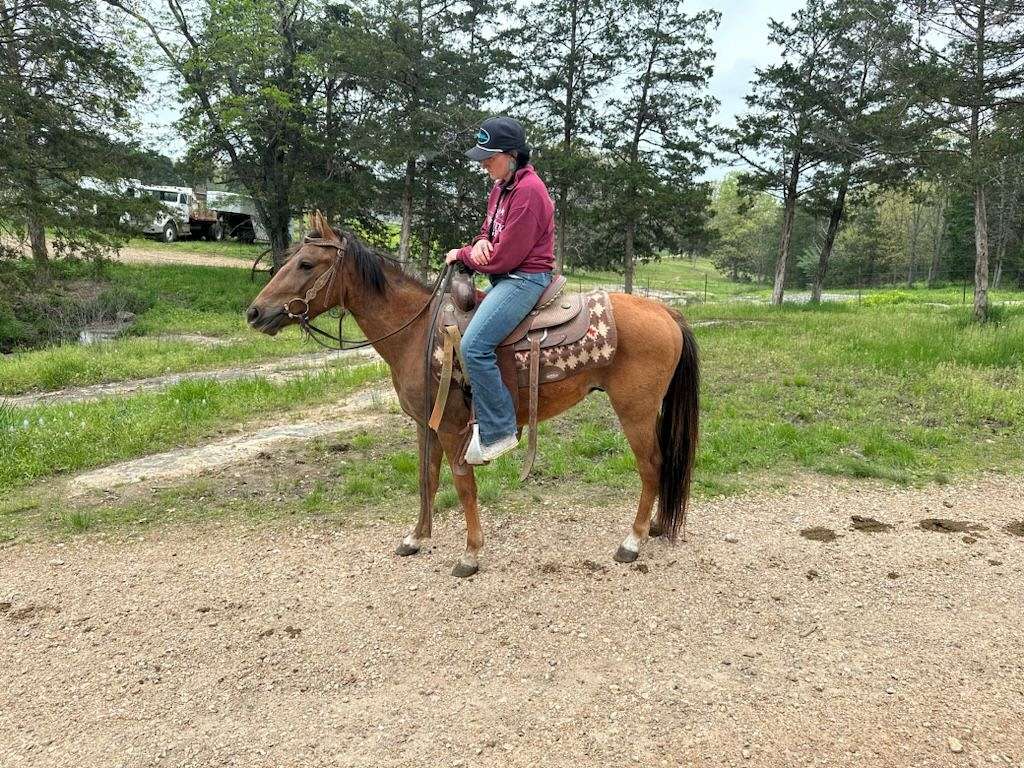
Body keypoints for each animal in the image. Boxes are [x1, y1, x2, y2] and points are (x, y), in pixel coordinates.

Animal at [246, 212, 700, 577]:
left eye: (306, 263)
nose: (254, 312)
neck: (417, 332)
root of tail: (666, 311)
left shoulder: (451, 427)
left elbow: (464, 486)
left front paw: (470, 554)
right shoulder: (425, 424)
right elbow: (427, 479)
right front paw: (416, 538)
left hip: (635, 410)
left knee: (652, 466)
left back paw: (632, 542)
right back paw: (656, 527)